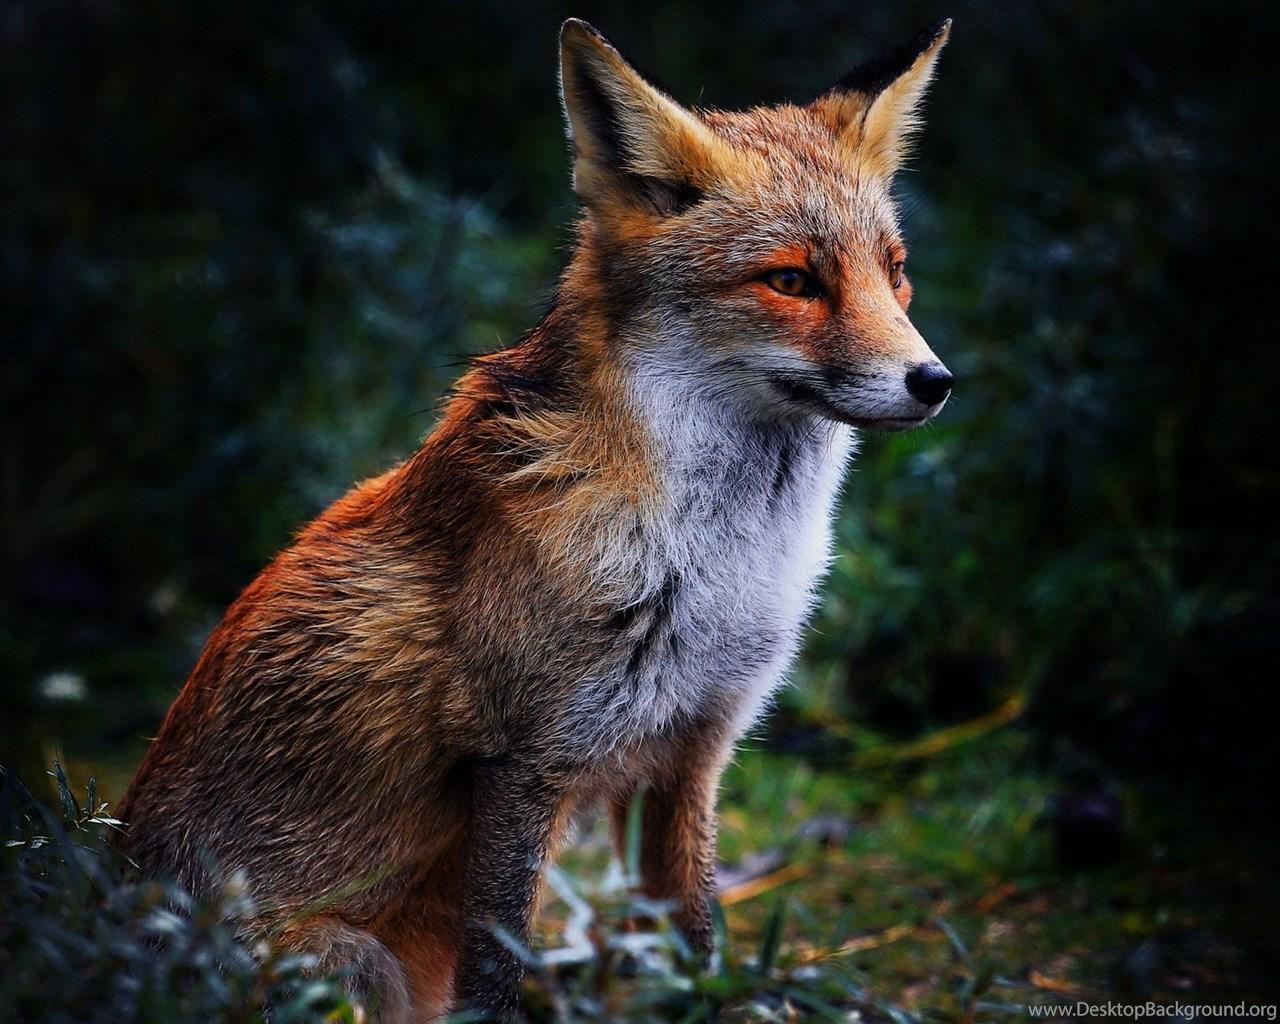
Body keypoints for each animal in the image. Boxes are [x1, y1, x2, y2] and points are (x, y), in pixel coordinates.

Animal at [118, 16, 954, 1022]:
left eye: (895, 274)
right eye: (792, 281)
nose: (934, 381)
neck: (717, 564)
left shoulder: (690, 753)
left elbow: (698, 938)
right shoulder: (524, 763)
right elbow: (495, 968)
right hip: (354, 967)